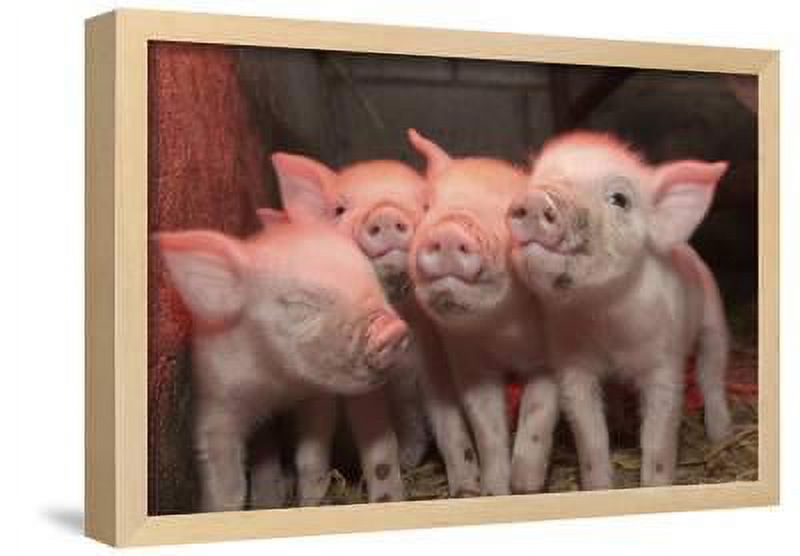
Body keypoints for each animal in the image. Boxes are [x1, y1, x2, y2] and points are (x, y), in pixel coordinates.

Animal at [156, 182, 410, 513]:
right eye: (300, 305)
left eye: (373, 283)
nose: (392, 331)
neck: (276, 385)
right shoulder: (215, 398)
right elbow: (228, 484)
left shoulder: (316, 396)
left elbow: (311, 458)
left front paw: (312, 501)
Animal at [266, 153, 481, 503]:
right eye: (339, 209)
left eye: (426, 204)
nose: (386, 212)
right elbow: (380, 447)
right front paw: (388, 501)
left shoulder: (434, 359)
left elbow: (452, 429)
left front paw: (468, 492)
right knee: (312, 450)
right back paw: (311, 498)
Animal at [407, 129, 556, 496]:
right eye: (427, 206)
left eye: (511, 213)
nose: (448, 231)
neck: (504, 330)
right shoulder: (466, 361)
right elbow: (486, 427)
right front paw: (495, 492)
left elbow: (538, 408)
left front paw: (526, 486)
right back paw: (465, 490)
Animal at [505, 131, 733, 489]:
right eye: (537, 178)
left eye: (619, 199)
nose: (538, 197)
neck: (606, 320)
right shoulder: (574, 365)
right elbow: (591, 439)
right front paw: (599, 485)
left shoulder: (664, 363)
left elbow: (657, 439)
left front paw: (655, 486)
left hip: (714, 320)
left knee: (711, 375)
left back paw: (721, 434)